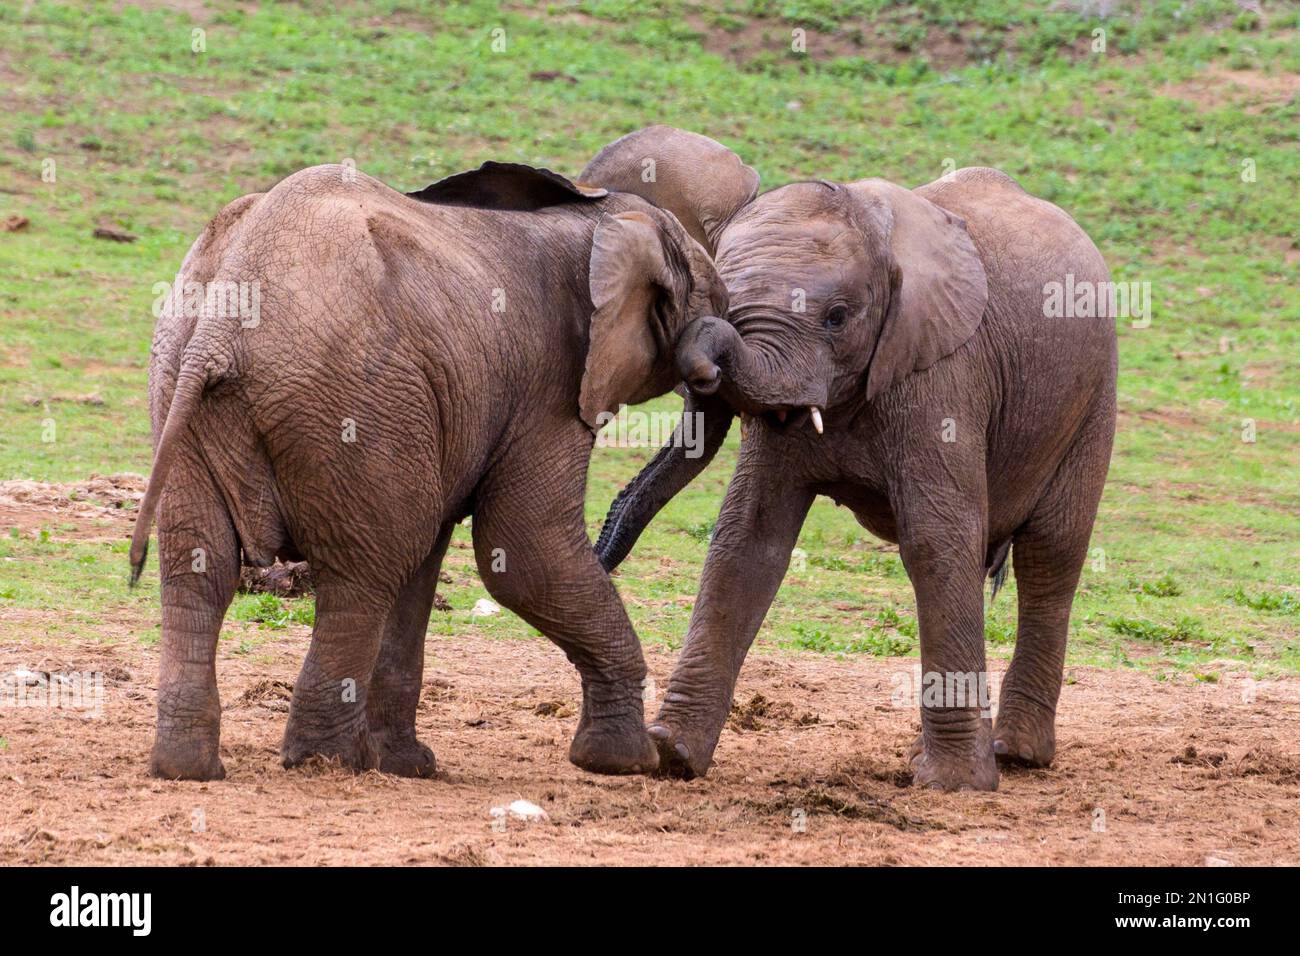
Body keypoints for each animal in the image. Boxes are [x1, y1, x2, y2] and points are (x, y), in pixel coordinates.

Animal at [129, 134, 760, 781]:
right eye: (714, 303)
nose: (706, 372)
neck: (600, 218)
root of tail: (219, 329)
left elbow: (431, 557)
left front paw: (407, 765)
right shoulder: (550, 385)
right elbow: (522, 553)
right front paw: (626, 762)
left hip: (182, 384)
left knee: (202, 567)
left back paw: (190, 768)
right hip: (355, 397)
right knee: (363, 573)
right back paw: (326, 763)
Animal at [593, 128, 1117, 791]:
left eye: (838, 317)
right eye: (726, 302)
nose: (602, 555)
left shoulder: (942, 375)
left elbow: (936, 542)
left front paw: (953, 785)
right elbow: (746, 542)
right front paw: (672, 757)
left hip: (1095, 394)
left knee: (1052, 556)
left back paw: (1015, 755)